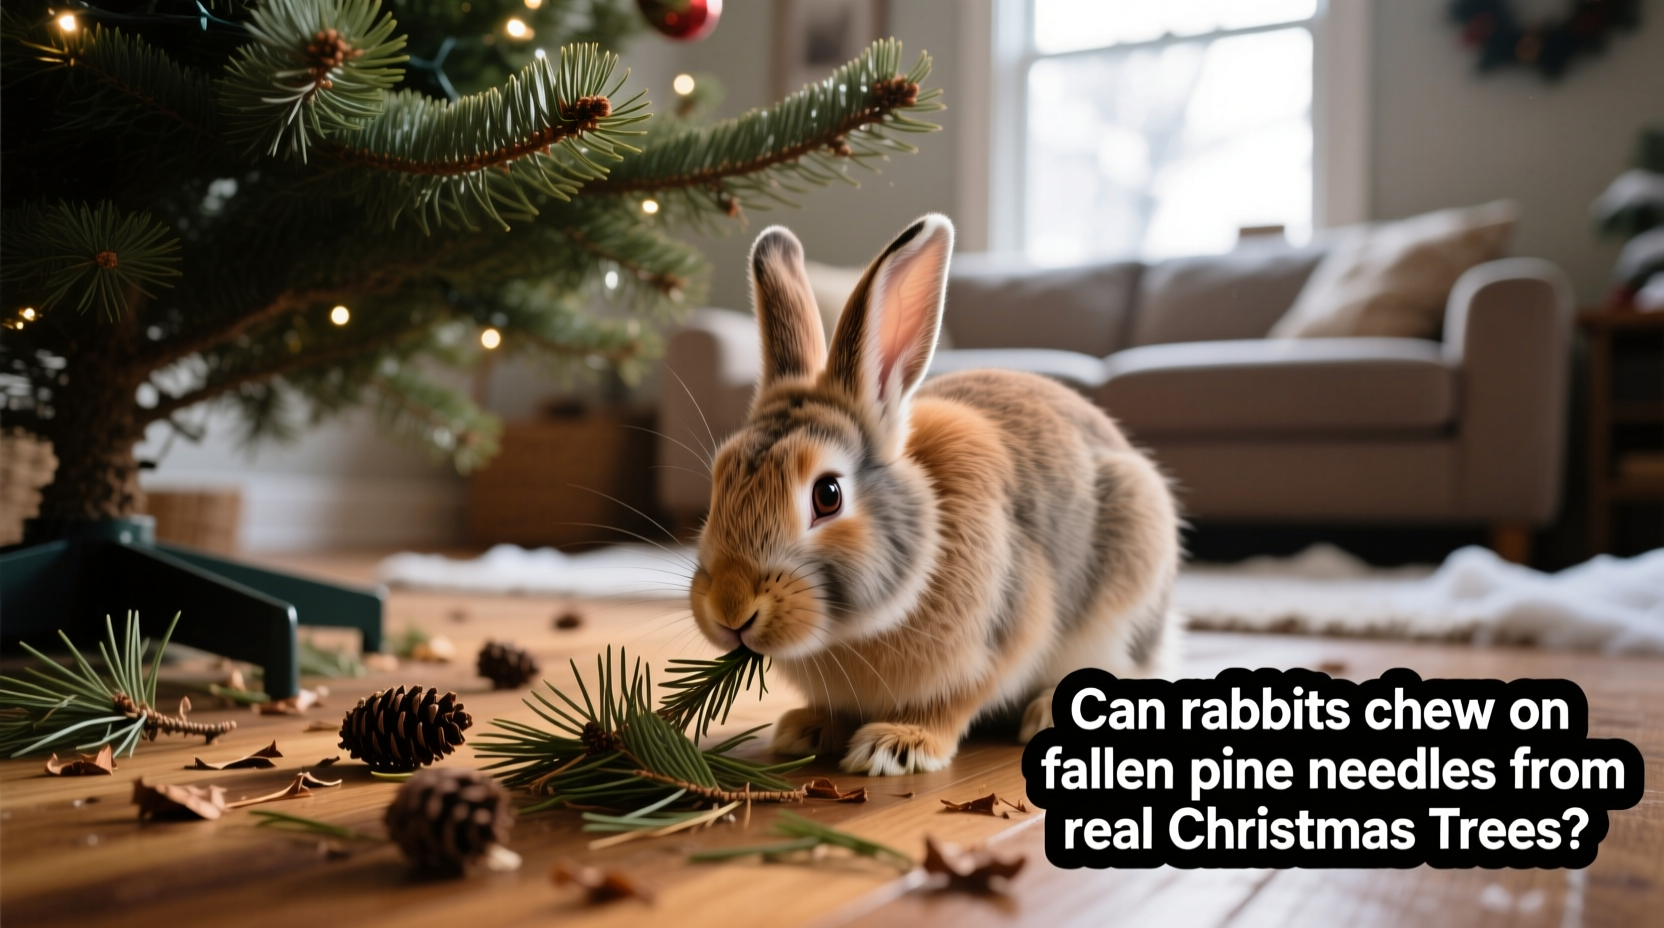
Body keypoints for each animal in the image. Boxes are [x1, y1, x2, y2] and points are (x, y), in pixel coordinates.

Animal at [688, 214, 1181, 776]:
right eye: (719, 482)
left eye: (828, 495)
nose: (730, 610)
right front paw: (806, 729)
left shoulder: (999, 639)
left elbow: (955, 702)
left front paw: (895, 746)